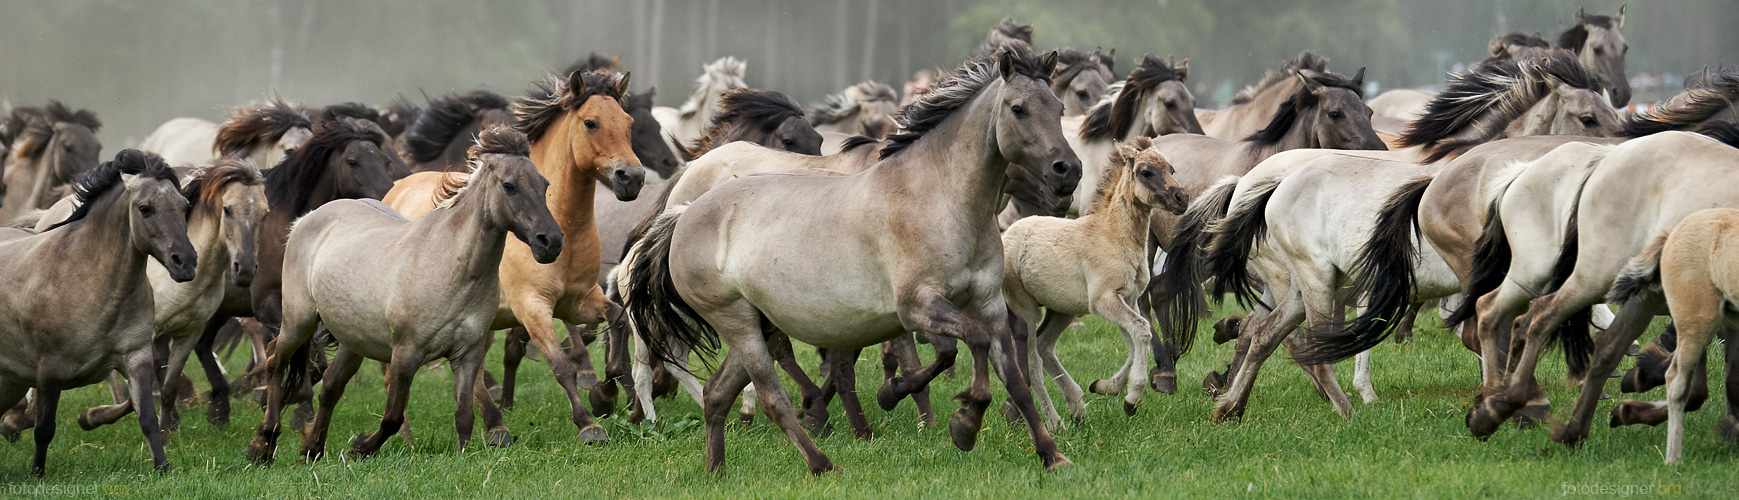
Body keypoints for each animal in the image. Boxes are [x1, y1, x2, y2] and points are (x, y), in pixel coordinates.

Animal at [0, 149, 193, 475]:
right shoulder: (50, 370)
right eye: (145, 208)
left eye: (184, 206)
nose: (187, 262)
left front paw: (163, 468)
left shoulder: (136, 357)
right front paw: (37, 474)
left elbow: (147, 418)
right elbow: (44, 428)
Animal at [248, 126, 559, 461]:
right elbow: (392, 417)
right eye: (509, 186)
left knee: (331, 387)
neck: (453, 266)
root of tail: (305, 219)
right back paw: (262, 444)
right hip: (299, 321)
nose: (551, 241)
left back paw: (312, 449)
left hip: (352, 340)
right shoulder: (405, 353)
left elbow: (464, 417)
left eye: (544, 184)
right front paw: (361, 448)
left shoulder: (468, 354)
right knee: (275, 362)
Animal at [386, 68, 646, 442]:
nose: (632, 178)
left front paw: (604, 395)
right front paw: (588, 423)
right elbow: (560, 365)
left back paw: (494, 423)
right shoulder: (532, 307)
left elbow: (618, 321)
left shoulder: (579, 300)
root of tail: (397, 187)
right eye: (591, 123)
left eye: (628, 122)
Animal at [626, 44, 1078, 475]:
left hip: (758, 322)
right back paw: (822, 462)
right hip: (735, 321)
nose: (1068, 172)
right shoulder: (915, 306)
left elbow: (1013, 380)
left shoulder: (988, 303)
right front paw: (959, 422)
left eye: (1059, 108)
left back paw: (717, 470)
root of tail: (685, 211)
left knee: (716, 393)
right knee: (772, 397)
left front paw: (1052, 456)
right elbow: (962, 346)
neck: (940, 196)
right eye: (1018, 108)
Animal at [1001, 138, 1189, 430]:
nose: (1182, 199)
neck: (1113, 235)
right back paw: (1055, 422)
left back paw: (1077, 406)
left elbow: (1138, 335)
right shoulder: (1103, 300)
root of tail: (1006, 235)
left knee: (1044, 346)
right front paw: (1132, 397)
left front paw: (1106, 387)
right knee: (1032, 361)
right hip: (1025, 308)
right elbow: (1141, 332)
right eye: (1145, 172)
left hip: (1063, 310)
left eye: (1171, 169)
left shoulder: (1128, 298)